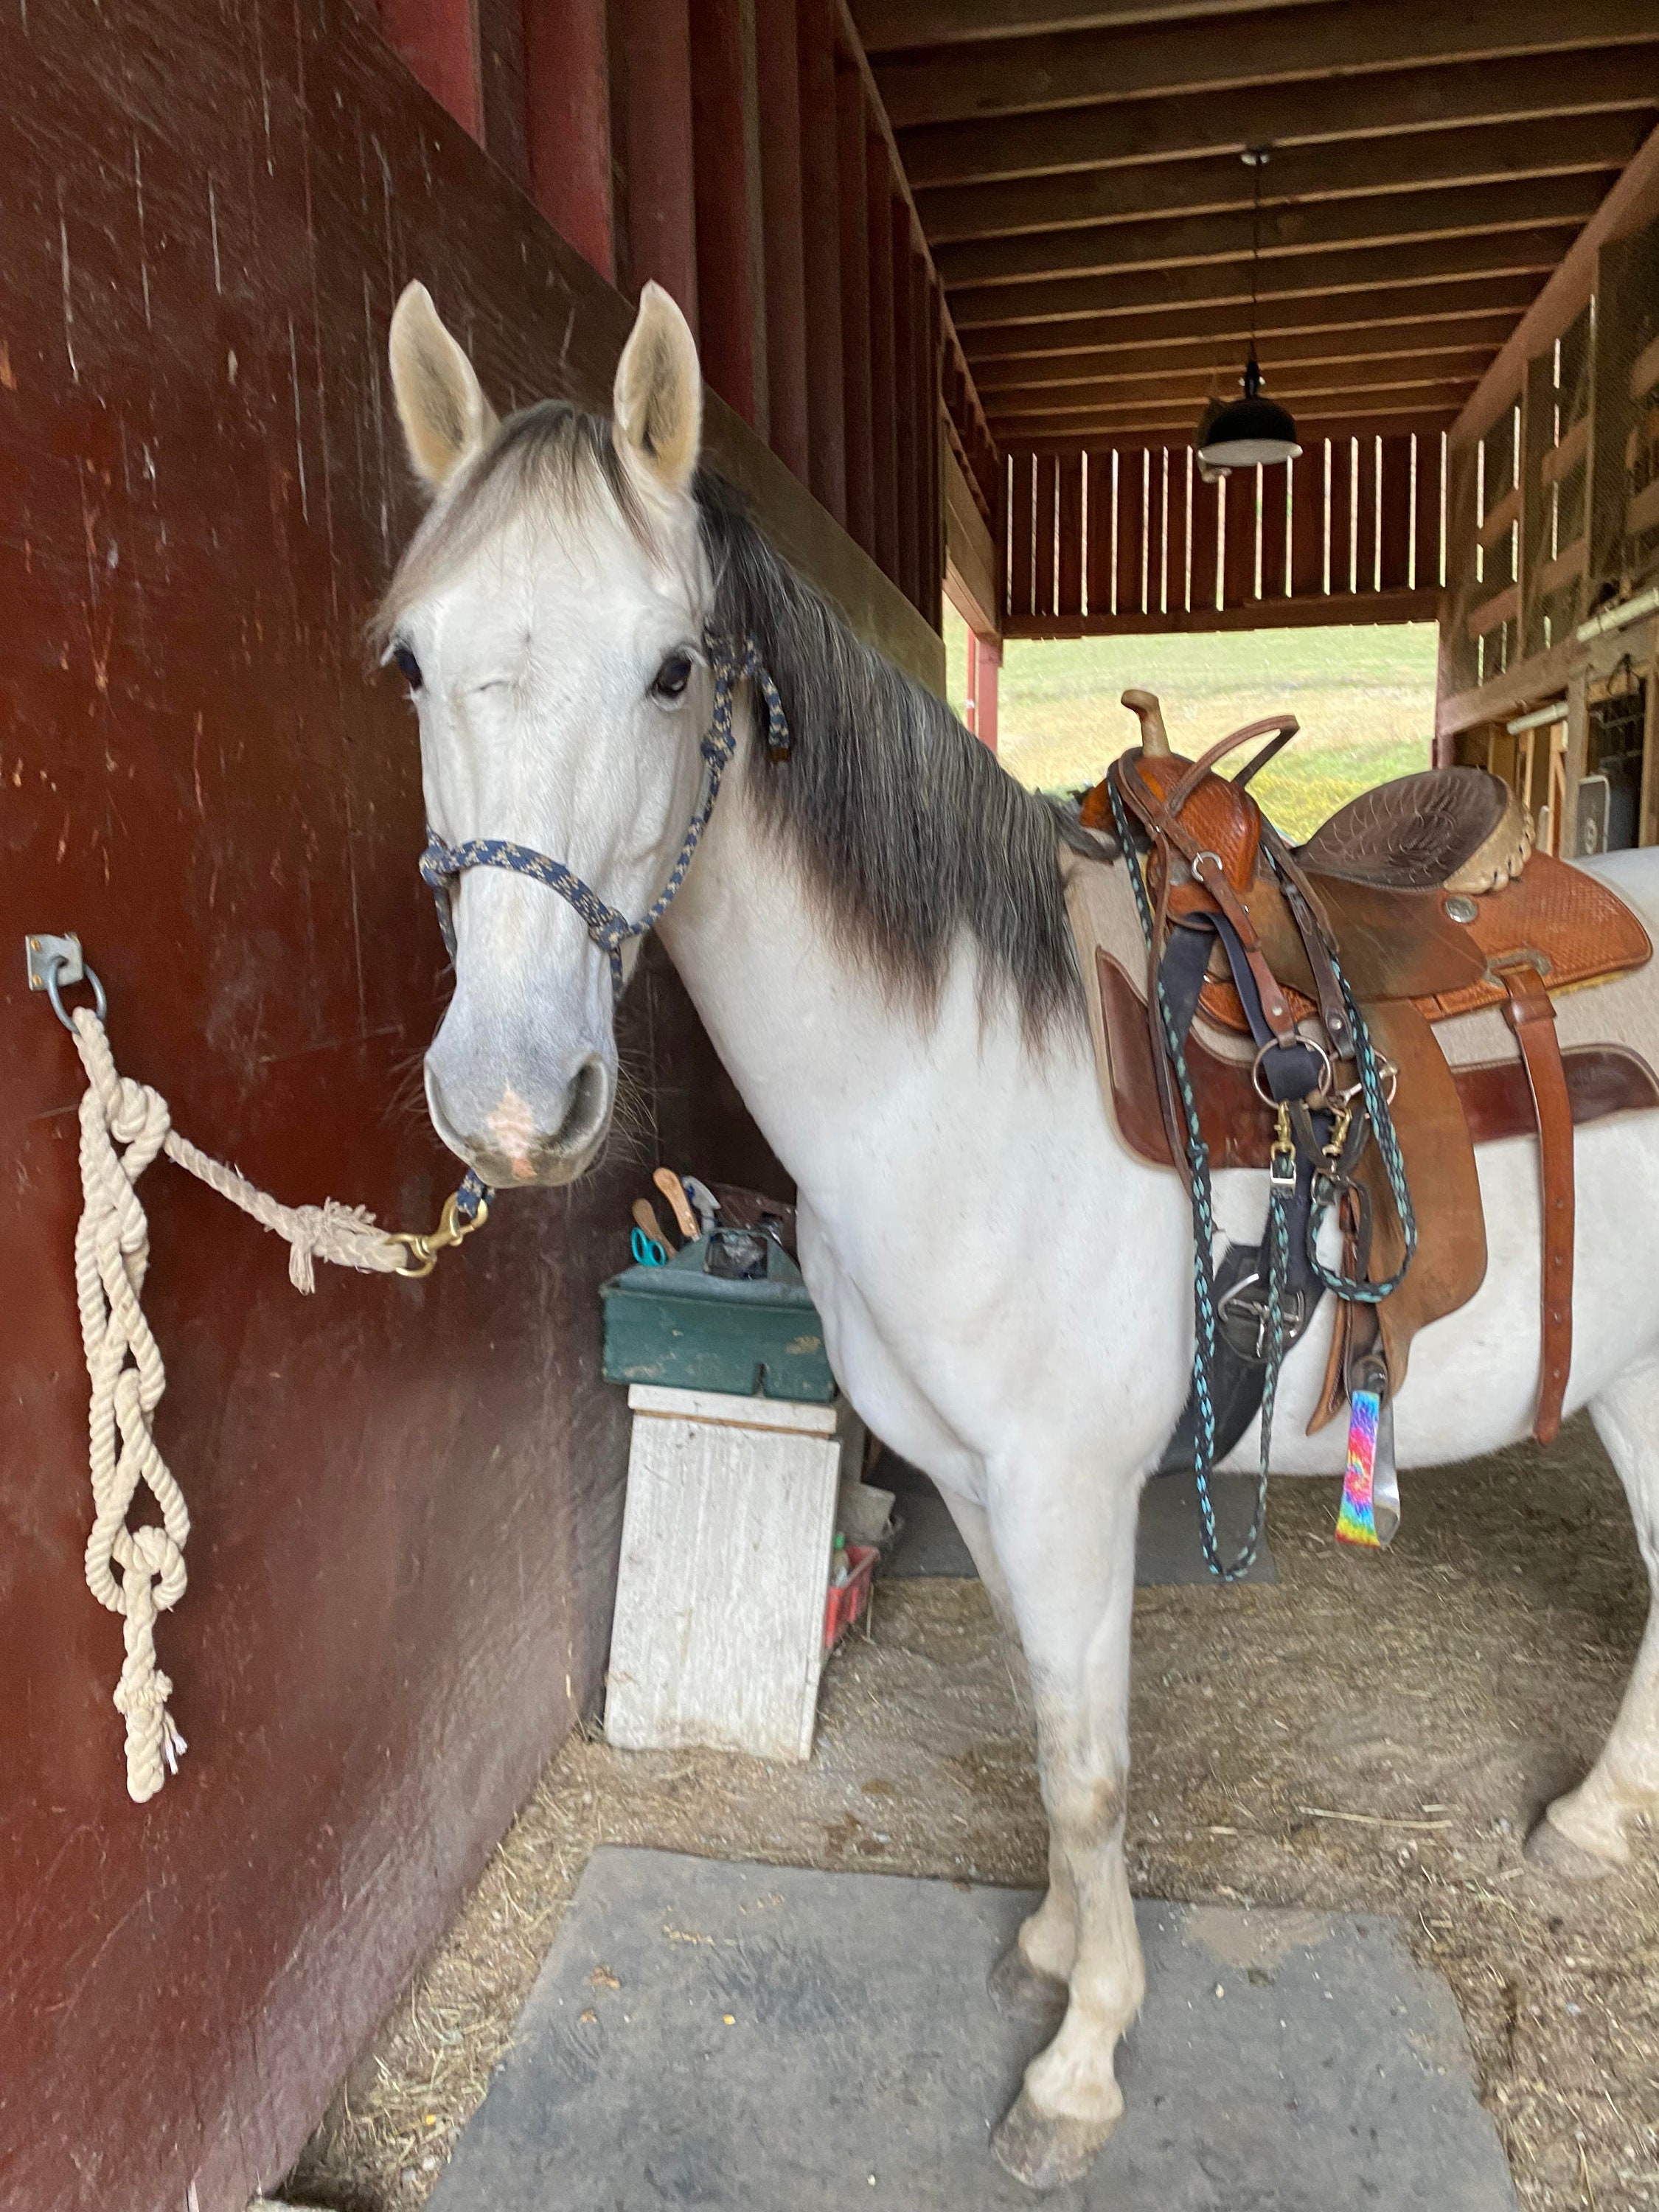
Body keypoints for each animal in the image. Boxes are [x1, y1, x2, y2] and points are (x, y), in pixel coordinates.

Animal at [377, 276, 1659, 2191]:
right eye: (409, 658)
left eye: (673, 666)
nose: (513, 1099)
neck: (960, 1075)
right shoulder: (978, 1485)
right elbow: (1050, 1724)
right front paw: (1057, 1953)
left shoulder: (1068, 1490)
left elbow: (1091, 1764)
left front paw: (1078, 2068)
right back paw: (1589, 1822)